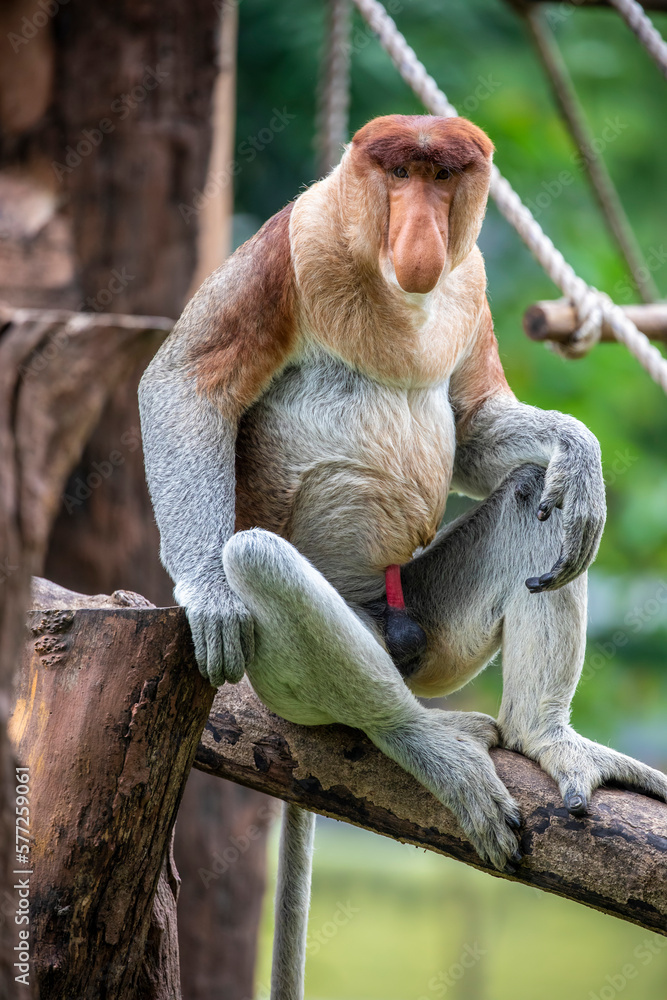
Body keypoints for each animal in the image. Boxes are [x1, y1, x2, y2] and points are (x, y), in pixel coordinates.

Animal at [139, 114, 667, 1000]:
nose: (419, 233)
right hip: (284, 684)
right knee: (260, 558)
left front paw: (578, 451)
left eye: (442, 177)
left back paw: (546, 736)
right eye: (399, 175)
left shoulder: (472, 279)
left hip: (432, 628)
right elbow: (184, 382)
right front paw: (207, 594)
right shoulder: (291, 241)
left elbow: (479, 424)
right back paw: (424, 740)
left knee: (538, 496)